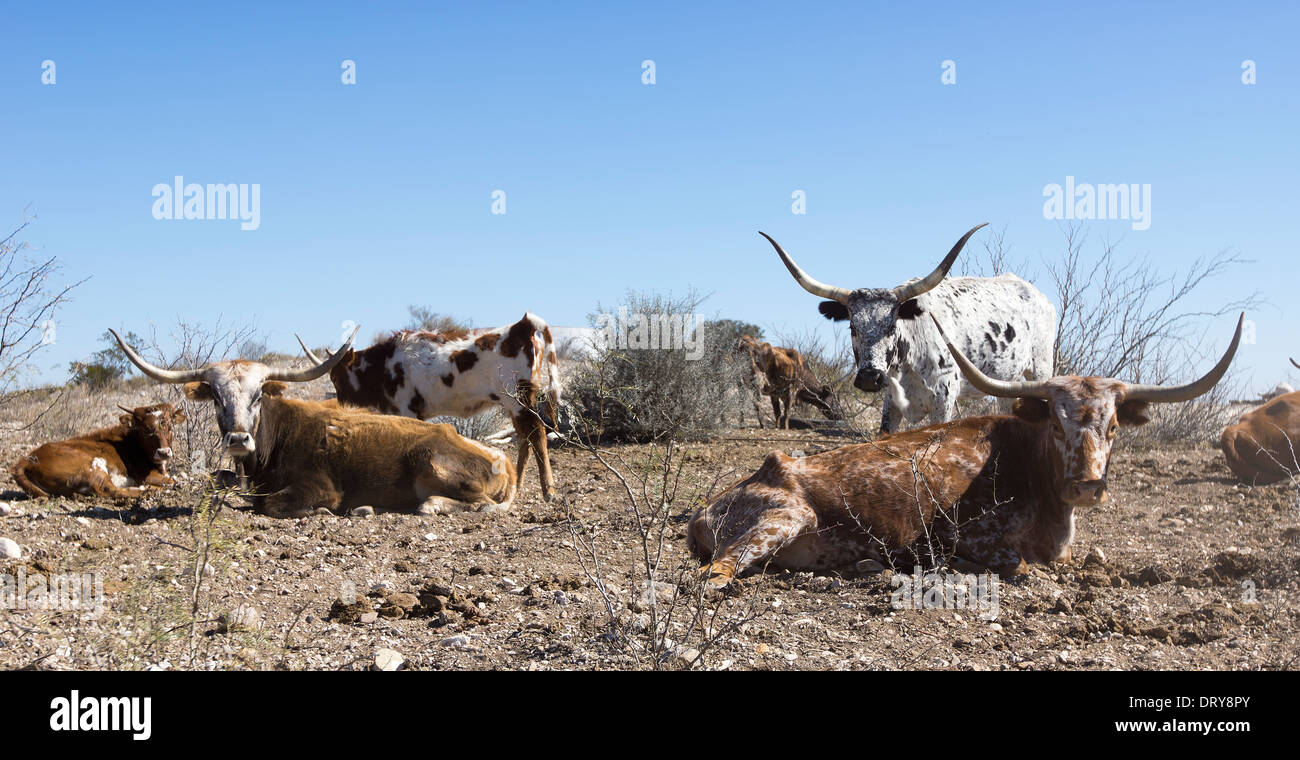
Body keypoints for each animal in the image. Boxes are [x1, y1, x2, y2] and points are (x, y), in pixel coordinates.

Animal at [11, 403, 184, 502]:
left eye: (170, 426)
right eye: (146, 430)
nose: (164, 452)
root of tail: (28, 459)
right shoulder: (143, 474)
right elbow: (171, 480)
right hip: (91, 466)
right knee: (109, 489)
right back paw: (147, 490)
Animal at [109, 329, 516, 518]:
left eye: (258, 396)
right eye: (217, 398)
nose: (239, 439)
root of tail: (505, 463)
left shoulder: (322, 487)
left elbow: (270, 504)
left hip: (432, 463)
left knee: (474, 503)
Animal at [297, 312, 561, 500]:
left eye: (336, 377)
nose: (342, 404)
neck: (386, 364)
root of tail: (522, 326)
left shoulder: (407, 410)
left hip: (519, 400)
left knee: (537, 434)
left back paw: (548, 490)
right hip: (515, 404)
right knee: (525, 439)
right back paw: (518, 485)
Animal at [688, 314, 1243, 586]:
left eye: (1112, 428)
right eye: (1057, 423)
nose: (1087, 485)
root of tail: (707, 506)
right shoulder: (967, 536)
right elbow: (1017, 564)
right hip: (784, 519)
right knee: (712, 575)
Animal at [759, 224, 1056, 433]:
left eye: (892, 326)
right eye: (853, 327)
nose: (869, 378)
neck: (911, 359)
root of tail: (1038, 295)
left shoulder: (943, 402)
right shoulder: (891, 404)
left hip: (1039, 370)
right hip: (1008, 383)